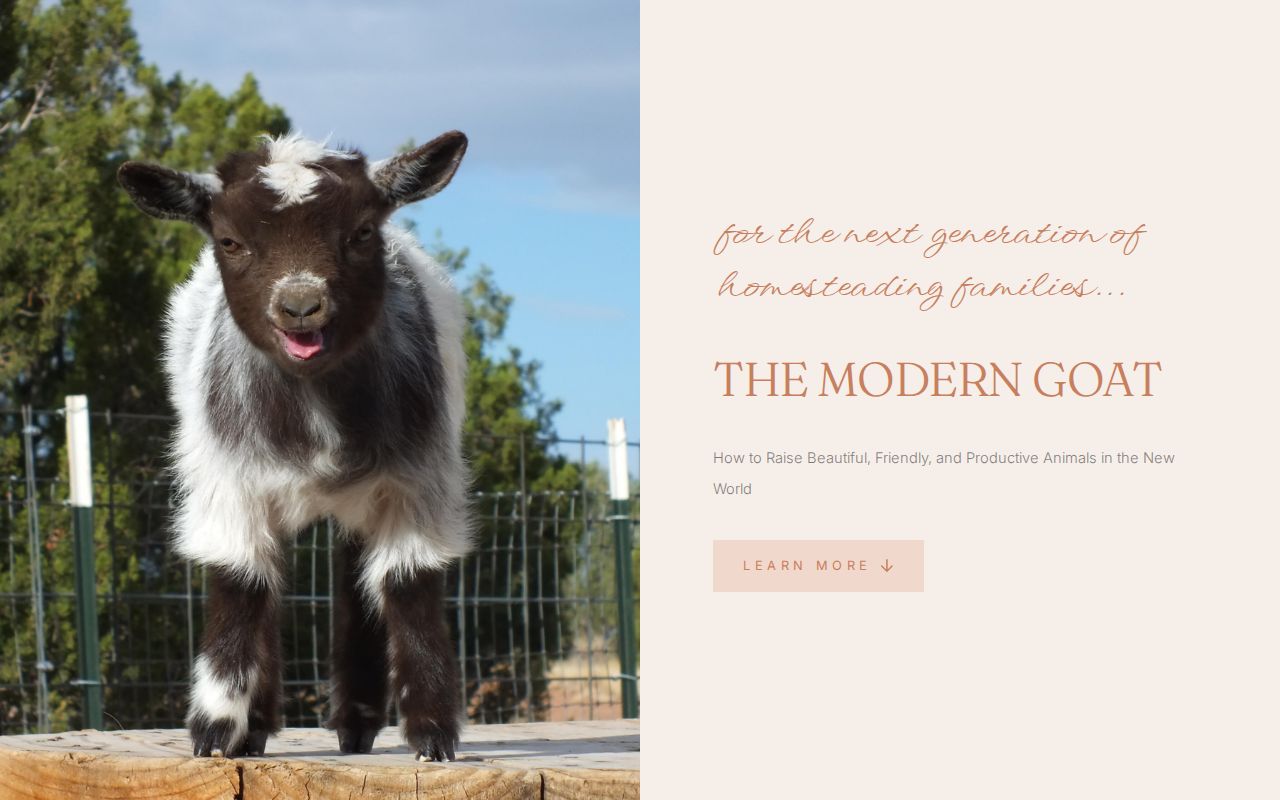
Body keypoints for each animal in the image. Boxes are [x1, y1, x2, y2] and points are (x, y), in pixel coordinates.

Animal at [117, 131, 471, 761]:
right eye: (229, 240)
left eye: (362, 232)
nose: (301, 306)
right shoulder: (229, 479)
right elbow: (239, 582)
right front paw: (214, 730)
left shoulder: (420, 479)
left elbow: (407, 582)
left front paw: (433, 735)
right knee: (267, 579)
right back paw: (255, 729)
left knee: (355, 575)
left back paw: (355, 726)